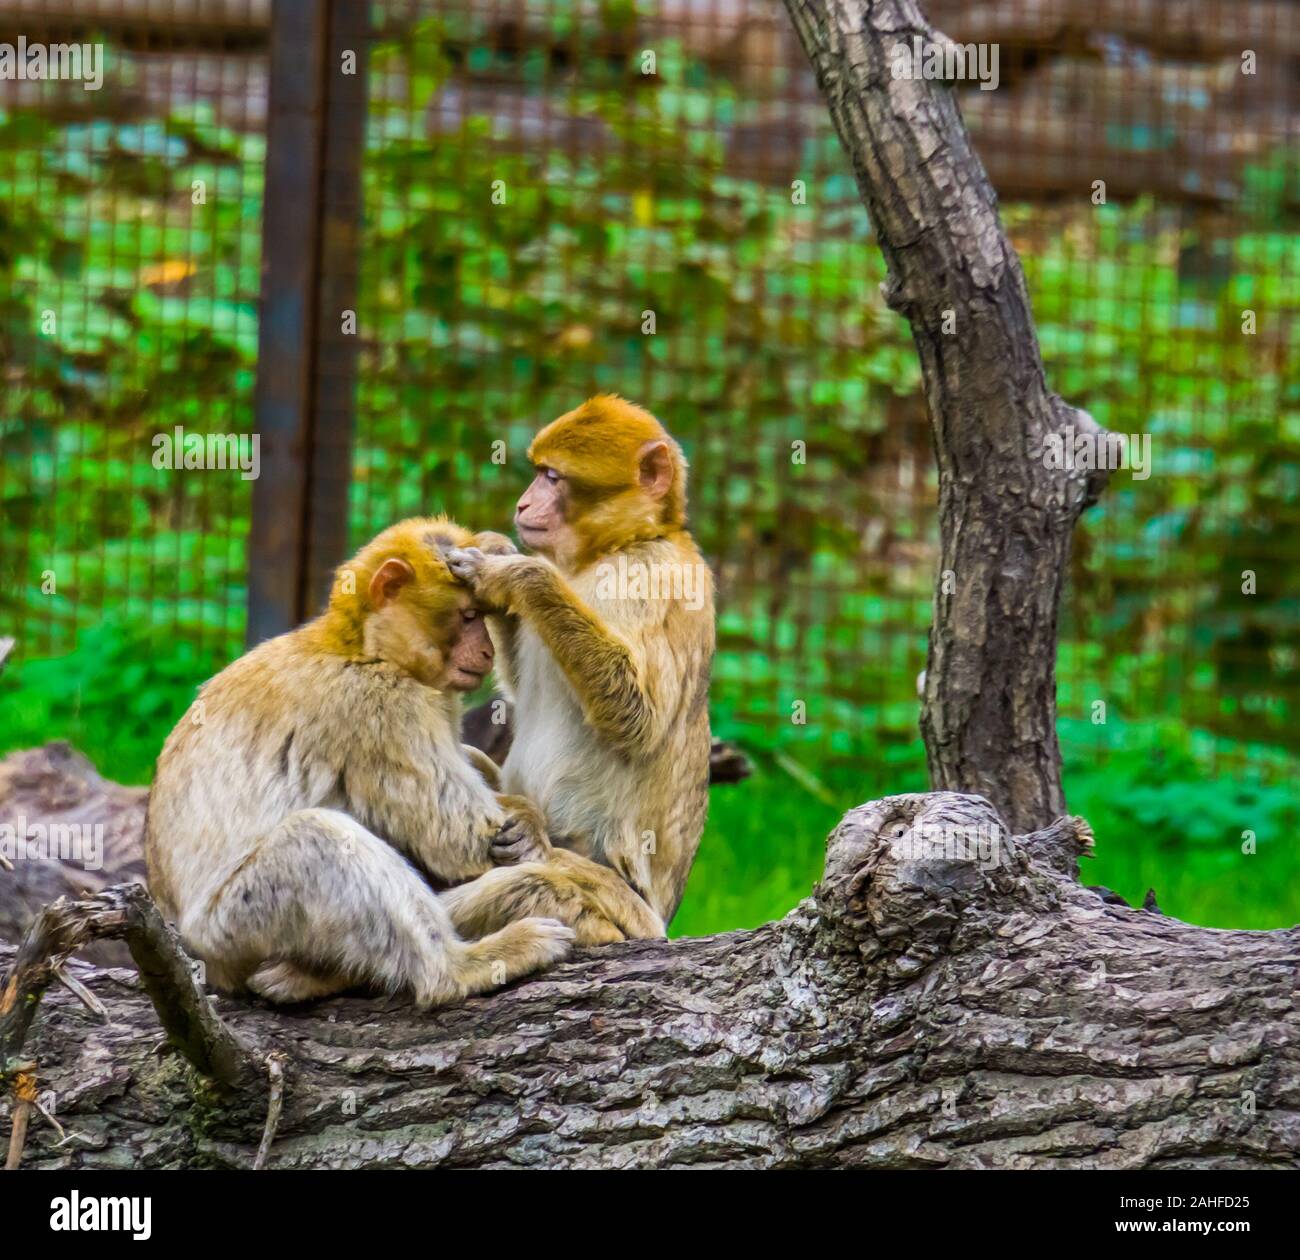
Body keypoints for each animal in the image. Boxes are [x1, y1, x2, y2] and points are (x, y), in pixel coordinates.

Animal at [143, 517, 573, 1006]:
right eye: (467, 617)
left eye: (480, 617)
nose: (485, 651)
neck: (365, 648)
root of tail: (198, 952)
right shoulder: (381, 706)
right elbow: (457, 838)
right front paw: (528, 825)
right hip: (237, 924)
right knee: (320, 839)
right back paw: (458, 968)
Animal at [442, 395, 715, 944]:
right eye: (538, 473)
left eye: (552, 477)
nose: (523, 505)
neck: (622, 545)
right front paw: (497, 549)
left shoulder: (652, 577)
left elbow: (638, 717)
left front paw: (512, 572)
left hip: (632, 909)